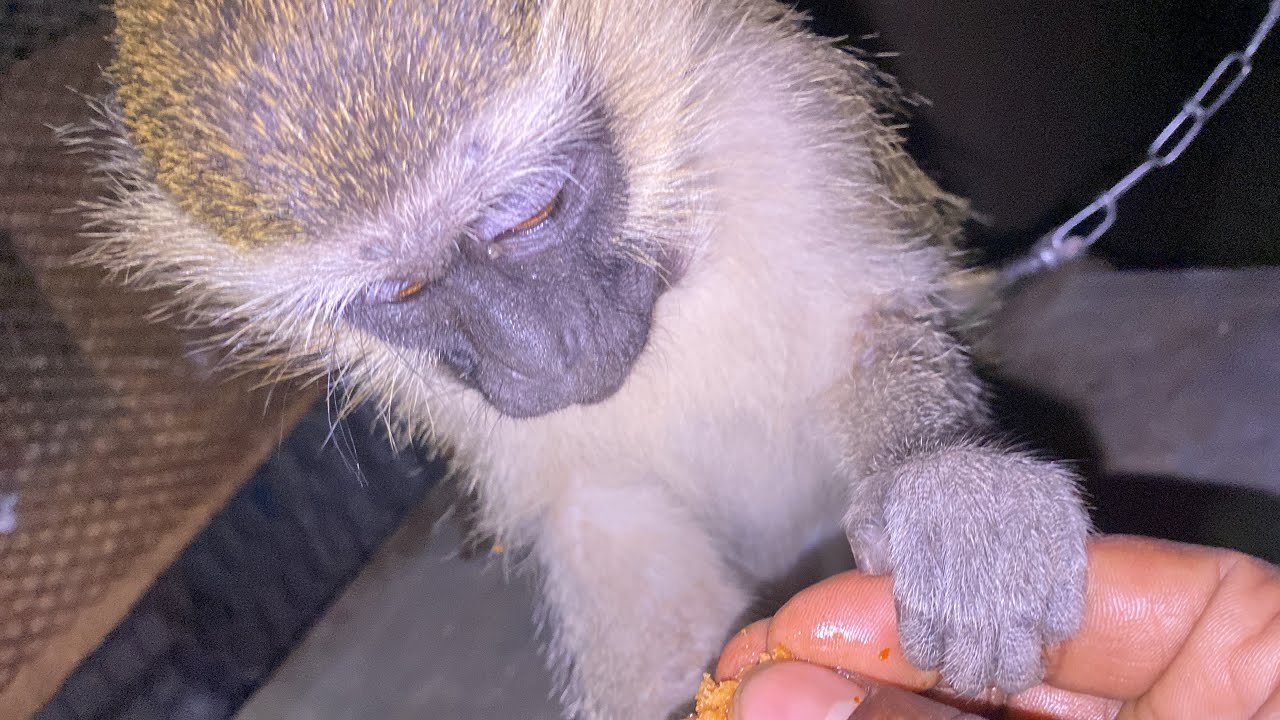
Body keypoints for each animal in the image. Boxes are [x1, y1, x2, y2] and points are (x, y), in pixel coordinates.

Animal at [74, 1, 1091, 718]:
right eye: (403, 293)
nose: (544, 357)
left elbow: (866, 327)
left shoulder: (777, 116)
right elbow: (615, 528)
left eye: (527, 216)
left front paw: (954, 492)